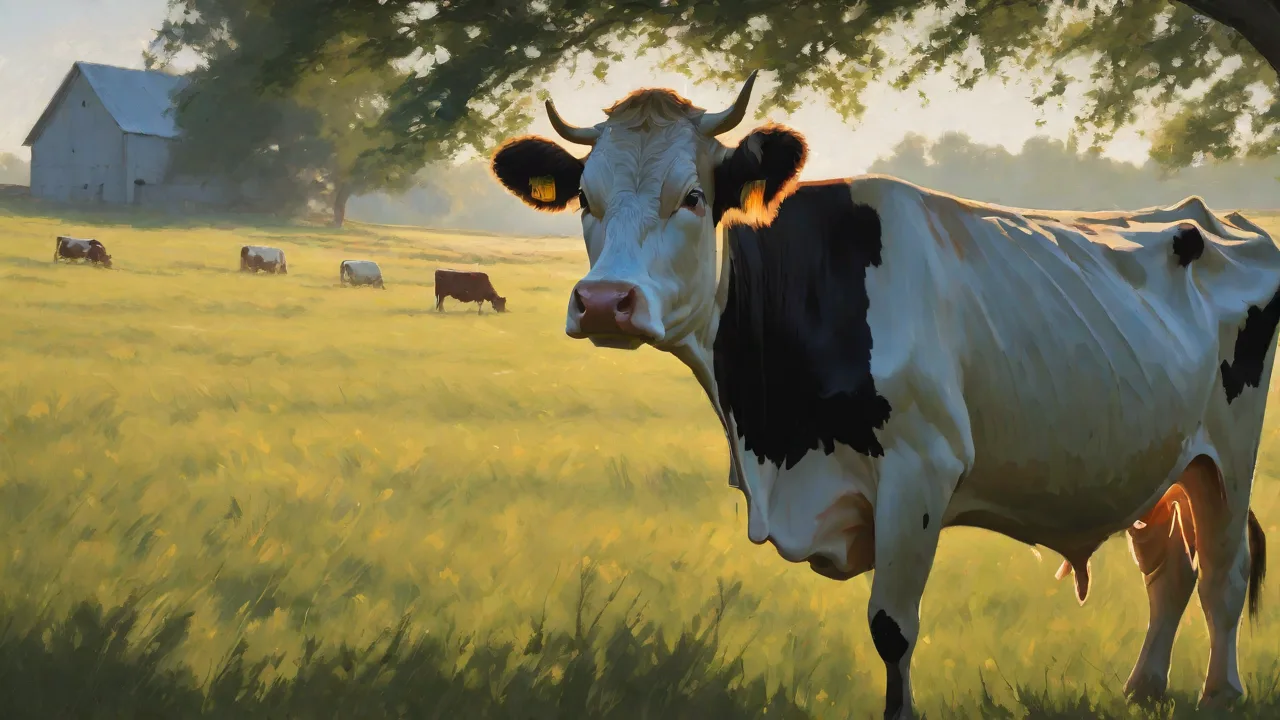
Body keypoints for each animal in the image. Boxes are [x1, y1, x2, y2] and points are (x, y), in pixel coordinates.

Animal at [489, 71, 1280, 718]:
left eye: (692, 196)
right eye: (585, 199)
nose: (603, 303)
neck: (773, 439)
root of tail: (1214, 219)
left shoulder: (919, 469)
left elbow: (892, 629)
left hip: (1228, 454)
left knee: (1224, 572)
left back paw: (1220, 694)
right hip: (1154, 460)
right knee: (1171, 572)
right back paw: (1143, 689)